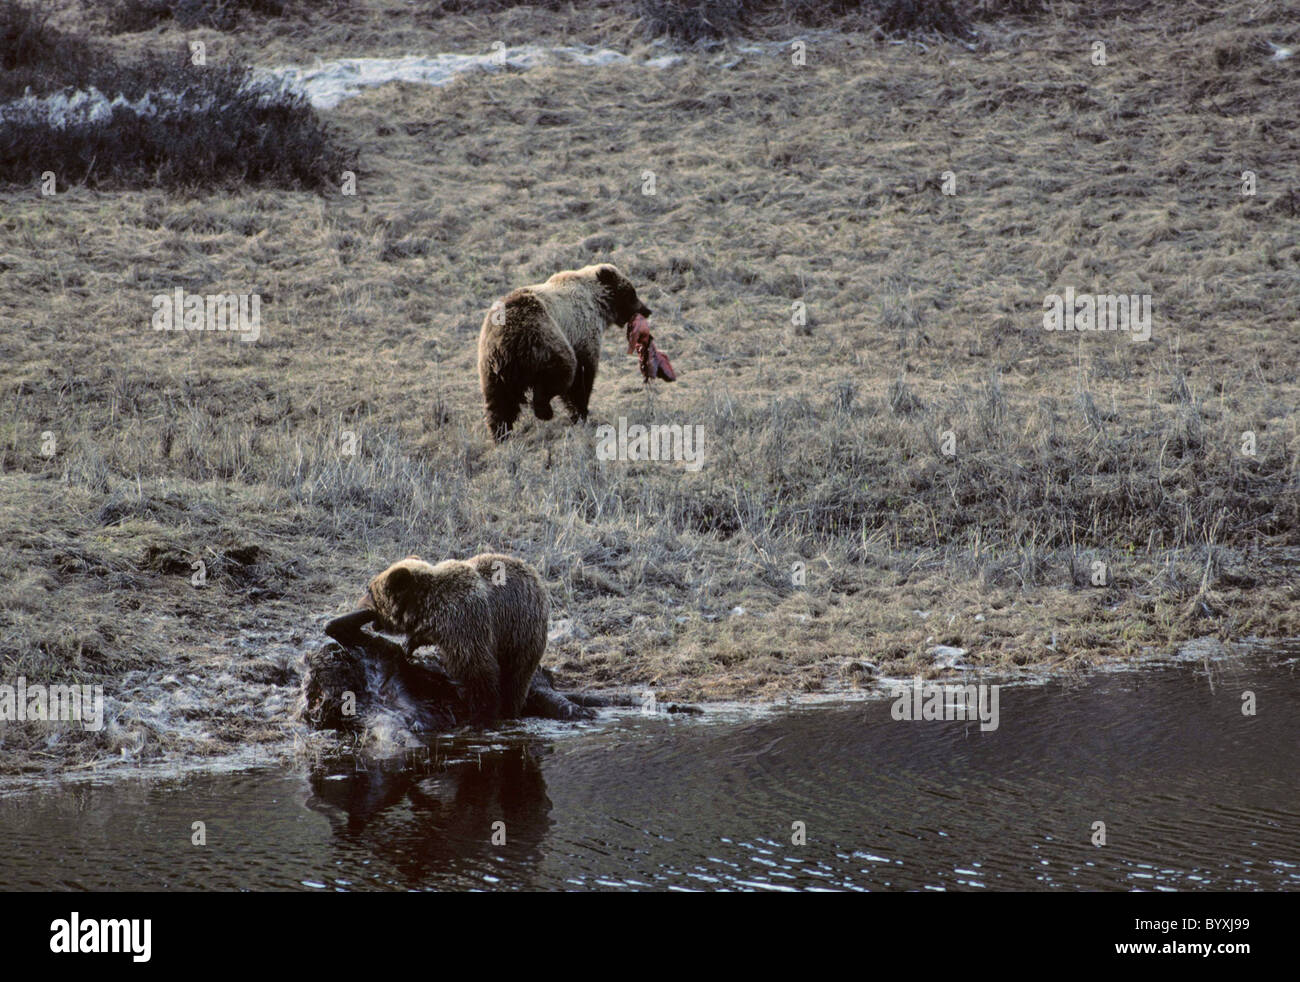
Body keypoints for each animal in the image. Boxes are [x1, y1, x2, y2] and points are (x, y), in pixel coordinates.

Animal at [325, 553, 549, 726]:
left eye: (369, 590)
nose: (357, 604)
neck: (430, 607)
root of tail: (536, 576)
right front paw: (408, 646)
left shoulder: (465, 622)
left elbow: (478, 668)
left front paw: (484, 711)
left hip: (521, 631)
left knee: (517, 677)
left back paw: (511, 708)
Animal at [477, 263, 653, 441]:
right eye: (631, 293)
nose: (647, 310)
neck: (597, 304)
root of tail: (504, 341)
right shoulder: (581, 332)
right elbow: (581, 378)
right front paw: (580, 413)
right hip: (543, 338)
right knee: (560, 372)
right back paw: (544, 411)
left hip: (491, 368)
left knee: (499, 402)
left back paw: (500, 434)